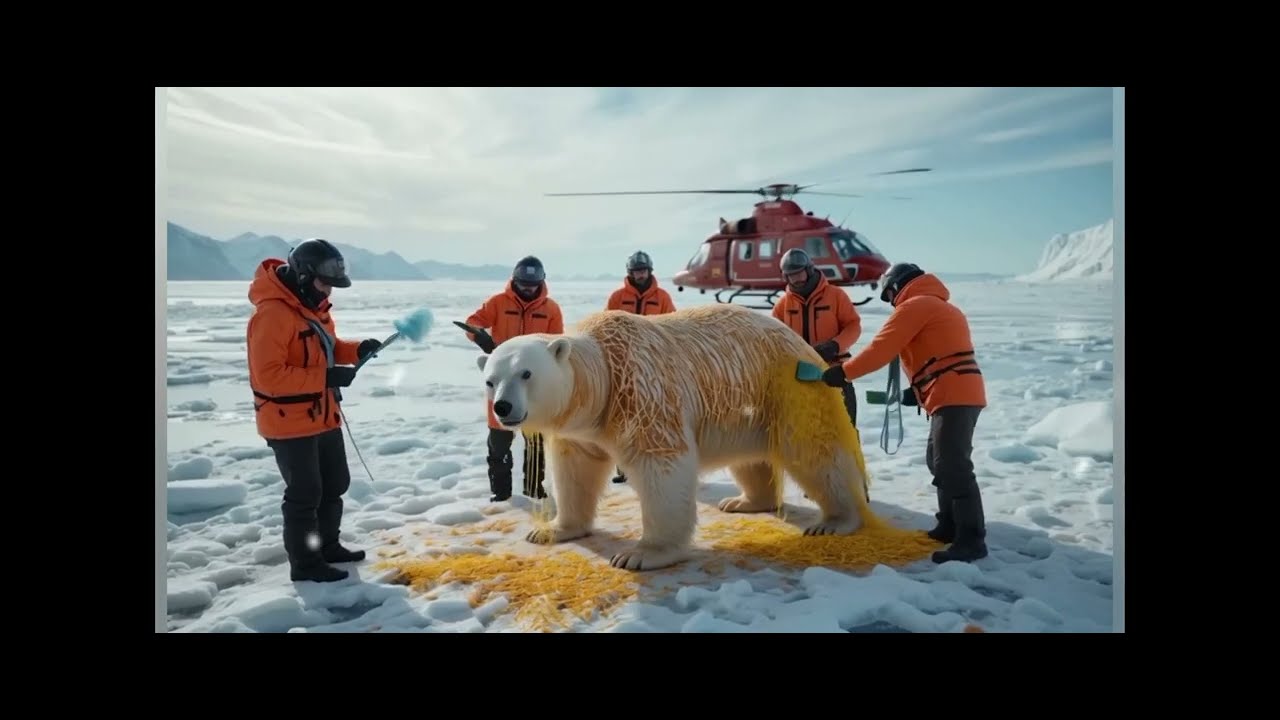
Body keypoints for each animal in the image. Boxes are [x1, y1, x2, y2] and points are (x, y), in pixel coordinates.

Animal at [475, 302, 873, 572]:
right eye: (490, 380)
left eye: (526, 373)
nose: (503, 407)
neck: (603, 370)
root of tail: (803, 344)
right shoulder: (582, 427)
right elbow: (575, 469)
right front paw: (551, 531)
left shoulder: (641, 390)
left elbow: (661, 466)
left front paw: (640, 554)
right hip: (747, 404)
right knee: (750, 457)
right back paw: (743, 501)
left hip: (790, 388)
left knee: (815, 450)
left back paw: (835, 520)